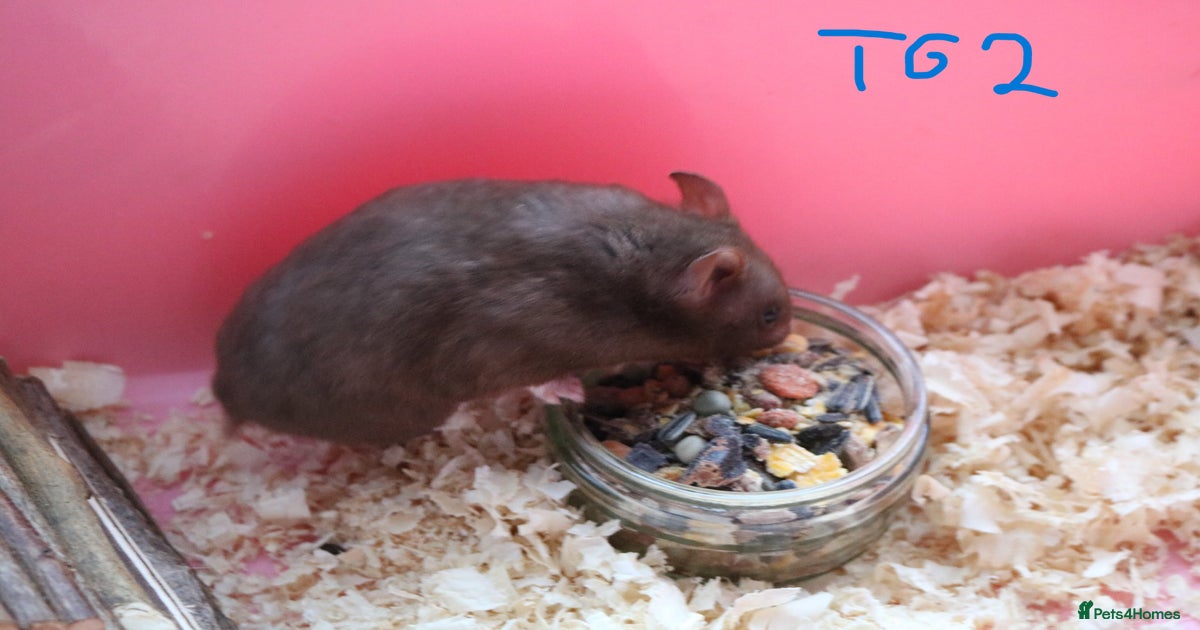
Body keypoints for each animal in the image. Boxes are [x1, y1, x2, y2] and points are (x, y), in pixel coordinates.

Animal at [213, 172, 792, 445]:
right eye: (768, 315)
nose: (785, 337)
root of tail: (225, 389)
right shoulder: (517, 343)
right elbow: (540, 382)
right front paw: (572, 392)